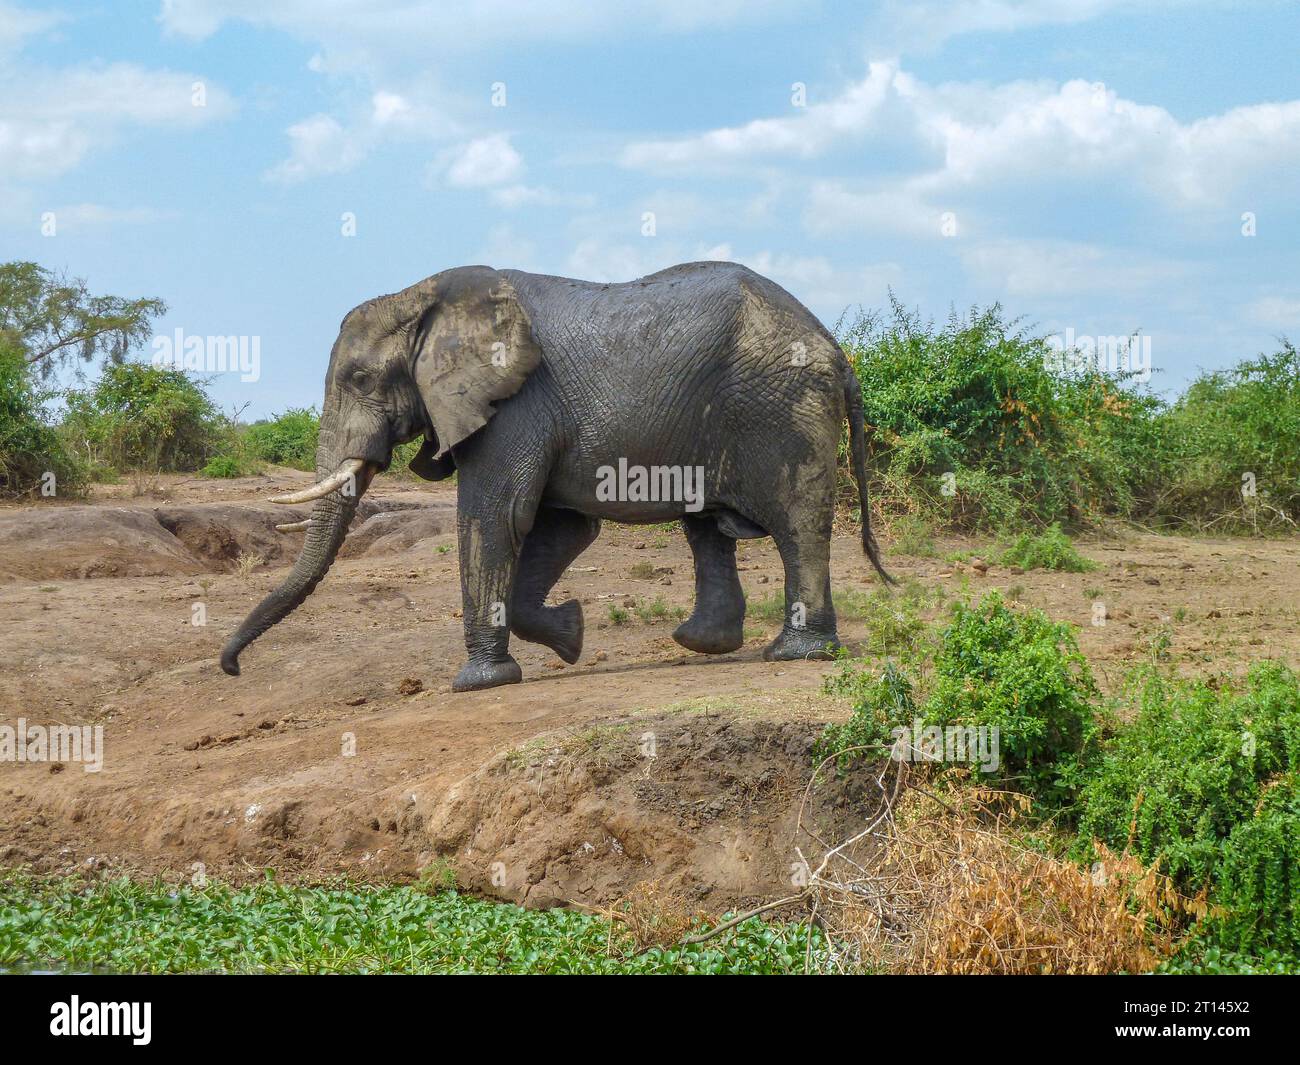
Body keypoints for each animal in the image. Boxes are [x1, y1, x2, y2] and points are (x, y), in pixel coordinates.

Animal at [221, 261, 892, 691]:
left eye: (359, 379)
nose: (230, 668)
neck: (422, 297)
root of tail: (836, 348)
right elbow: (559, 529)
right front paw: (571, 637)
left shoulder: (514, 406)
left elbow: (495, 518)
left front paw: (477, 684)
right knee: (706, 526)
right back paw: (705, 645)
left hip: (783, 407)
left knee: (797, 523)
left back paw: (795, 653)